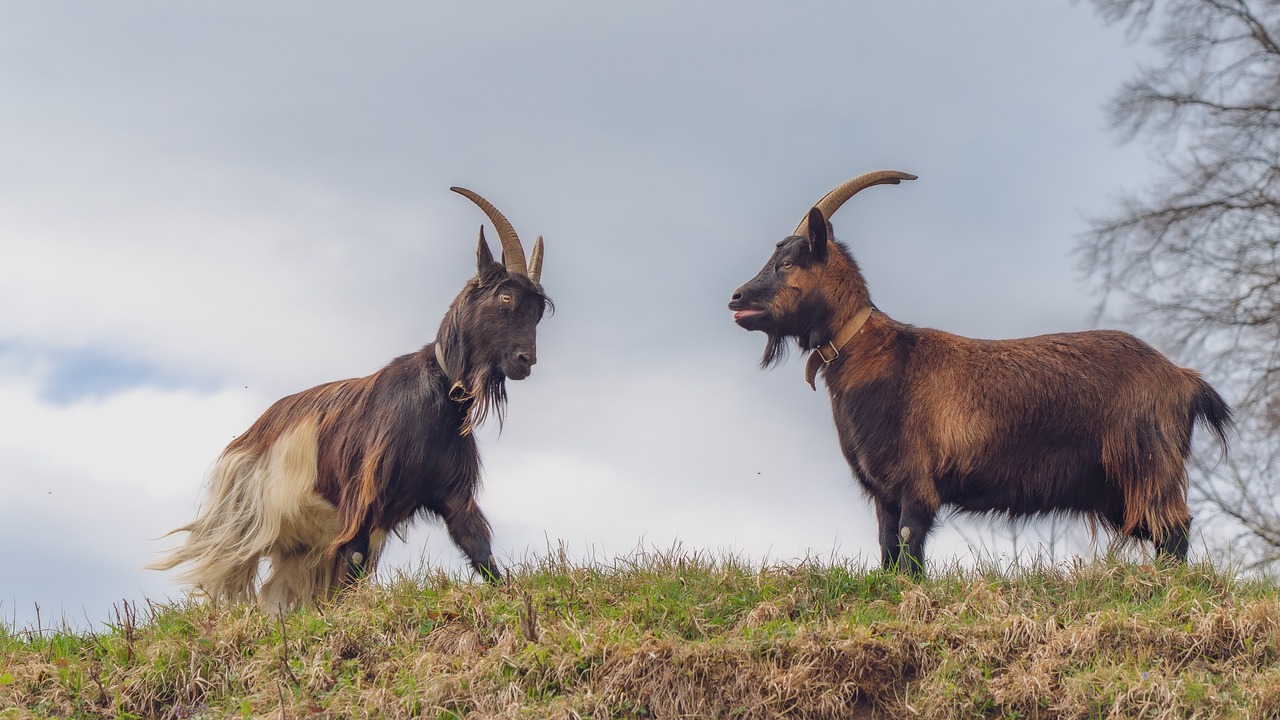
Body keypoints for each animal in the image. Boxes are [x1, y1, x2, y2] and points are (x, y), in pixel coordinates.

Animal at [150, 188, 550, 611]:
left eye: (539, 311)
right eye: (505, 297)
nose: (525, 361)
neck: (436, 396)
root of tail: (251, 435)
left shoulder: (452, 492)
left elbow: (478, 547)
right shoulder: (364, 495)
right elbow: (355, 558)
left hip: (300, 546)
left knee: (274, 591)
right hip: (245, 522)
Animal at [728, 170, 1232, 574]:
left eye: (787, 263)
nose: (737, 298)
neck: (876, 353)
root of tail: (1181, 378)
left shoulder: (915, 482)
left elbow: (909, 548)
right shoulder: (883, 493)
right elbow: (887, 548)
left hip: (1146, 464)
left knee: (1175, 528)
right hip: (1116, 490)